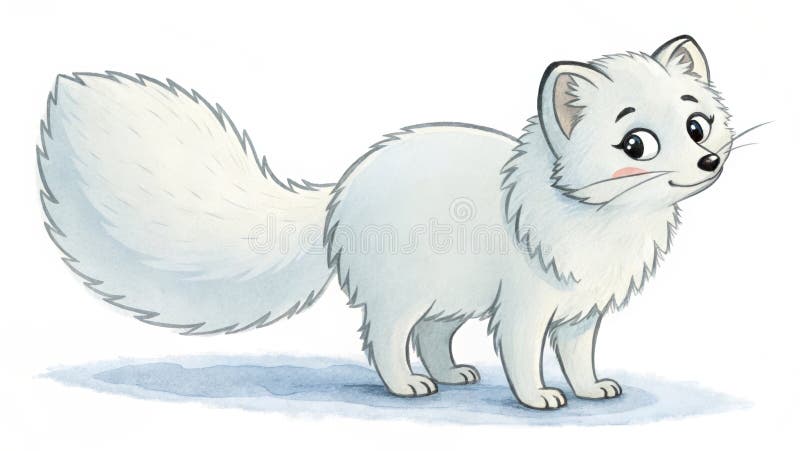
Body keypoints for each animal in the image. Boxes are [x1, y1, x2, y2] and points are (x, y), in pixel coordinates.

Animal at [38, 35, 749, 410]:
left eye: (697, 125)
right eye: (636, 145)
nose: (710, 160)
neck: (603, 227)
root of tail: (341, 190)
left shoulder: (580, 311)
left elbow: (577, 357)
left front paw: (591, 388)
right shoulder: (525, 306)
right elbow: (524, 356)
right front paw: (538, 398)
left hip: (448, 296)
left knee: (433, 337)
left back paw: (451, 376)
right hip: (403, 295)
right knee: (383, 339)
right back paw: (410, 385)